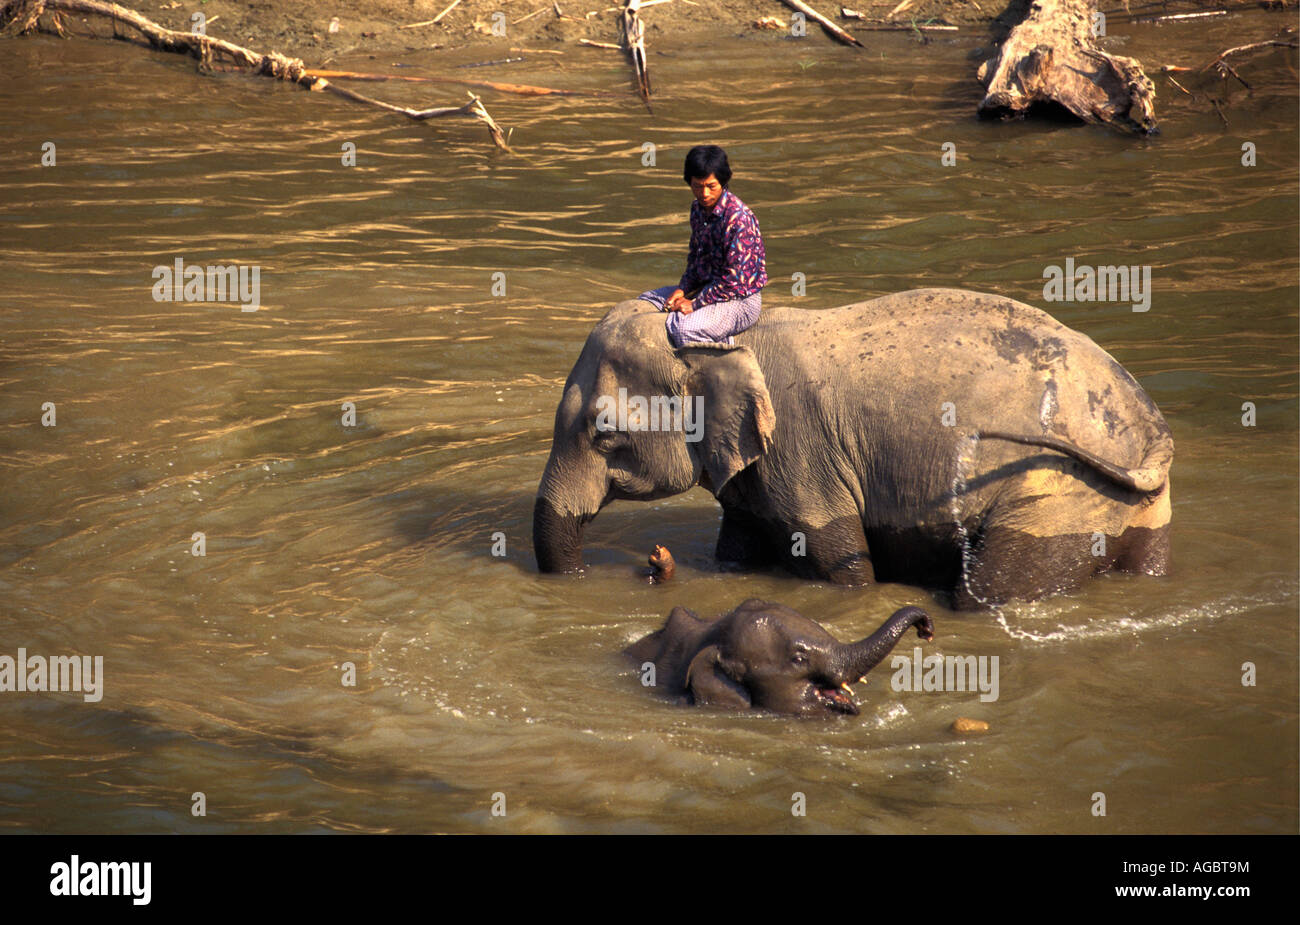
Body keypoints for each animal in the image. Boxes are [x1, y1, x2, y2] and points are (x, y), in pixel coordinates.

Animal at [533, 288, 1173, 609]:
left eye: (603, 435)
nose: (653, 564)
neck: (726, 339)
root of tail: (1151, 430)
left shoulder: (802, 453)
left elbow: (843, 567)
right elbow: (736, 552)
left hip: (1057, 491)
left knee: (991, 591)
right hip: (1131, 507)